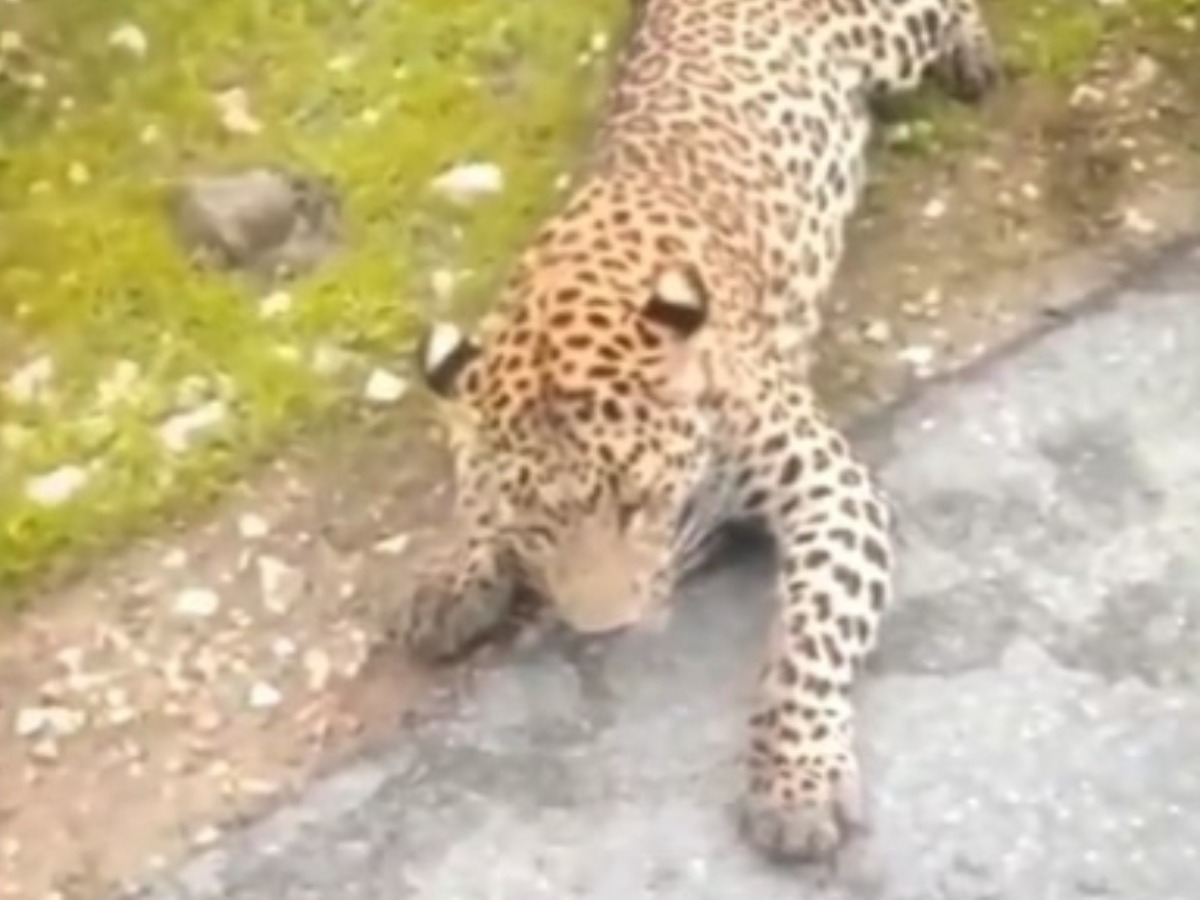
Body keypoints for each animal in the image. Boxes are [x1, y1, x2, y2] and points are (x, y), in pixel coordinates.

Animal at [398, 0, 999, 865]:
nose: (608, 630)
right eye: (536, 528)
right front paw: (458, 571)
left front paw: (794, 782)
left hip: (890, 37)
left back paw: (972, 61)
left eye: (636, 504)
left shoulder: (833, 492)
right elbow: (473, 484)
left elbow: (807, 643)